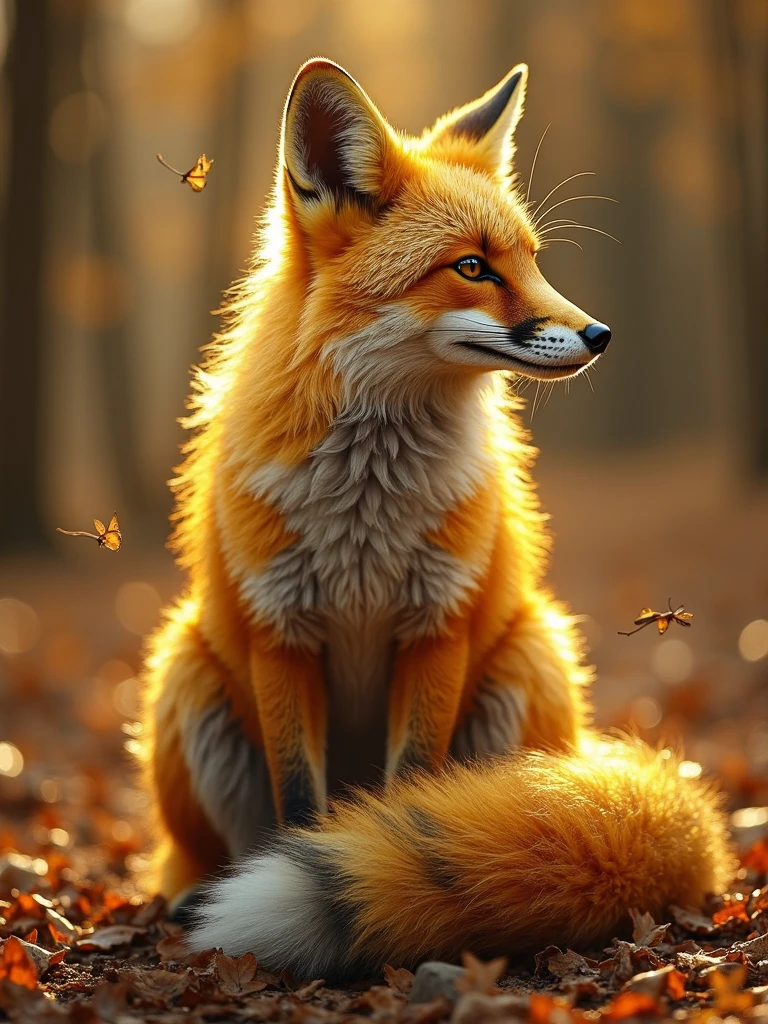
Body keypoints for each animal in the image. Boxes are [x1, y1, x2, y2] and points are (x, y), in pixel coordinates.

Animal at [140, 58, 733, 978]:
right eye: (473, 267)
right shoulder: (283, 634)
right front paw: (325, 874)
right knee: (205, 855)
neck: (366, 510)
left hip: (531, 655)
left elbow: (408, 788)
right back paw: (196, 895)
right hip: (187, 667)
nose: (602, 334)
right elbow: (300, 803)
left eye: (532, 261)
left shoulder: (435, 625)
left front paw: (378, 876)